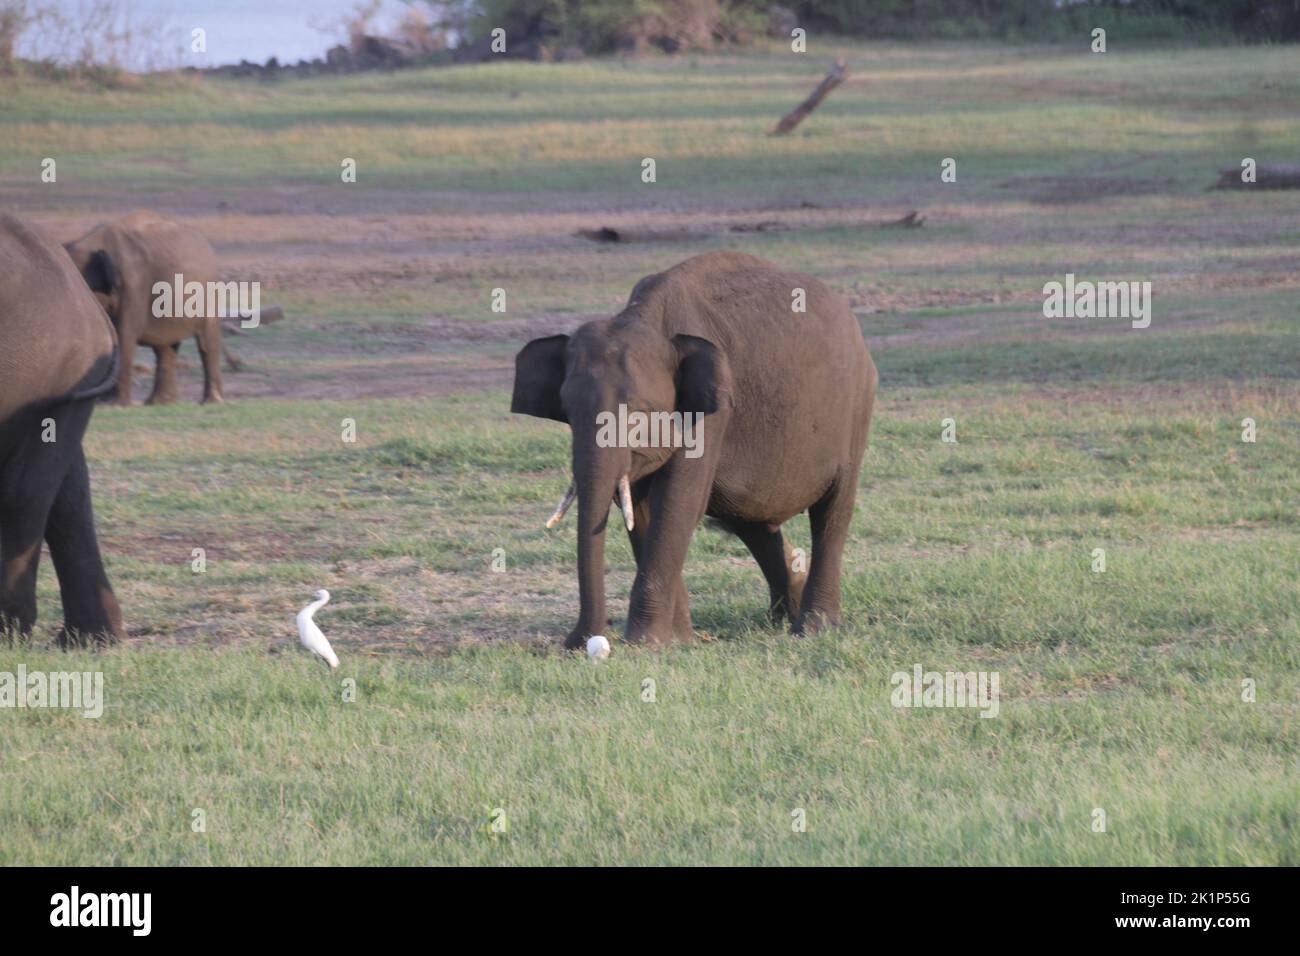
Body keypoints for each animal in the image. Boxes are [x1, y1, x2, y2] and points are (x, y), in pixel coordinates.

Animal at [65, 211, 226, 405]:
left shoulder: (133, 285)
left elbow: (124, 334)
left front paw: (112, 404)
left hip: (209, 293)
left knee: (206, 342)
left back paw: (211, 401)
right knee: (165, 348)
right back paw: (159, 403)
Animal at [511, 251, 877, 649]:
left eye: (639, 413)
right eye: (567, 410)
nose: (581, 641)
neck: (646, 316)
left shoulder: (712, 414)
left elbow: (677, 501)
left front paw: (646, 644)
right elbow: (640, 508)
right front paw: (678, 641)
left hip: (856, 408)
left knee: (831, 511)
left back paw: (811, 628)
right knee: (750, 519)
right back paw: (784, 612)